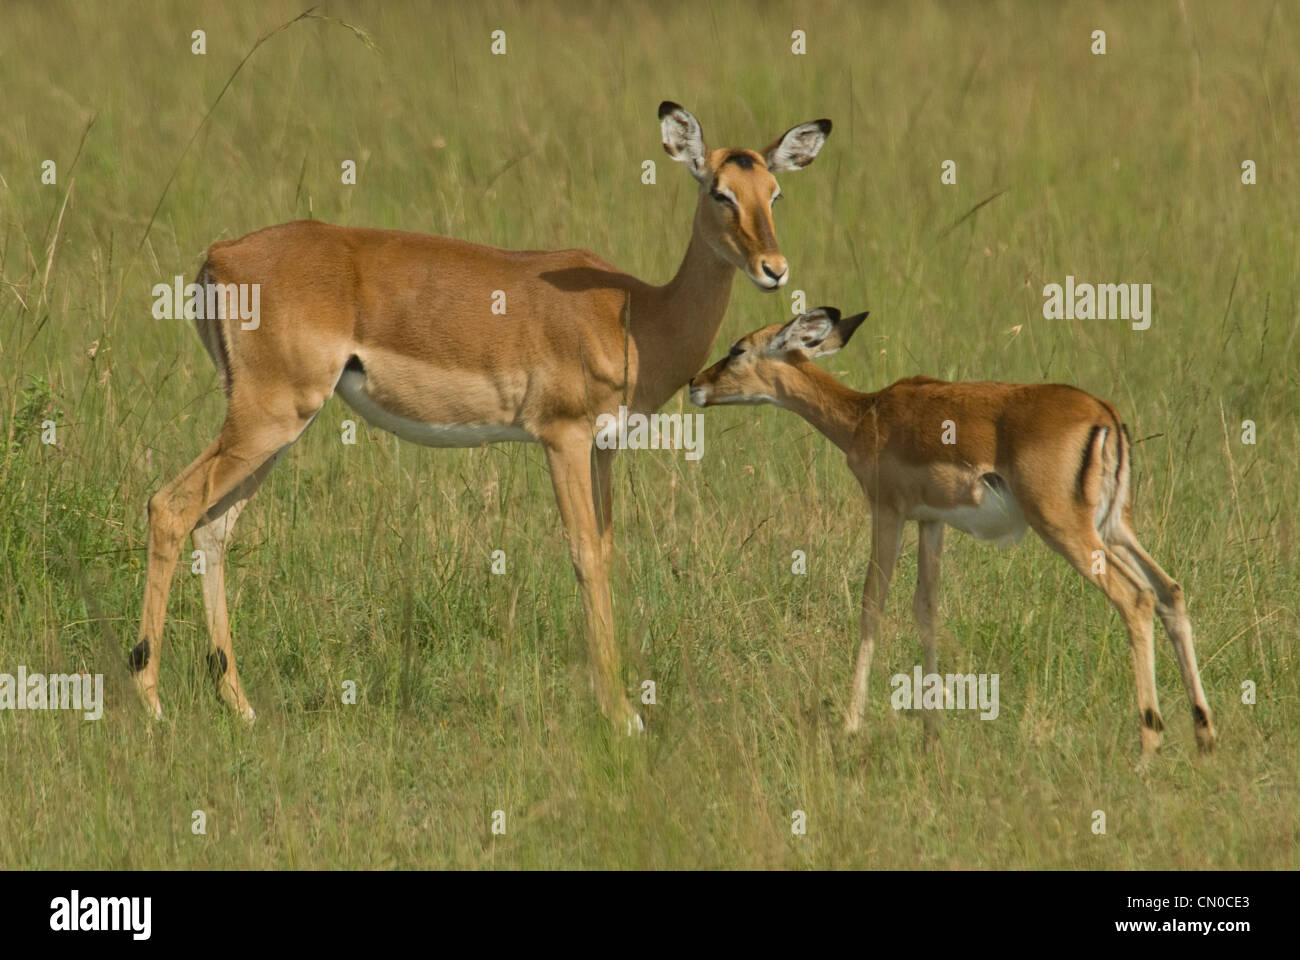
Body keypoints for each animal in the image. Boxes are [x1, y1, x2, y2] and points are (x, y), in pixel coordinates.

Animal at [131, 102, 831, 732]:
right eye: (719, 192)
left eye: (774, 192)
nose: (774, 270)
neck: (636, 314)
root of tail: (220, 256)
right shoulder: (562, 438)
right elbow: (584, 554)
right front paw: (621, 713)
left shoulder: (603, 447)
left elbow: (607, 550)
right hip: (270, 416)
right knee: (171, 505)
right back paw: (152, 701)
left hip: (275, 427)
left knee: (215, 528)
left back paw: (240, 705)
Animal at [689, 308, 1217, 758]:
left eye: (737, 348)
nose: (695, 384)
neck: (866, 415)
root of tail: (1103, 413)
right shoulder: (932, 521)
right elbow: (926, 609)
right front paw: (931, 733)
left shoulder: (888, 512)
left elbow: (872, 603)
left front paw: (851, 725)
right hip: (1114, 528)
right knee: (1169, 590)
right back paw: (1204, 736)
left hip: (1067, 530)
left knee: (1135, 599)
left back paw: (1148, 745)